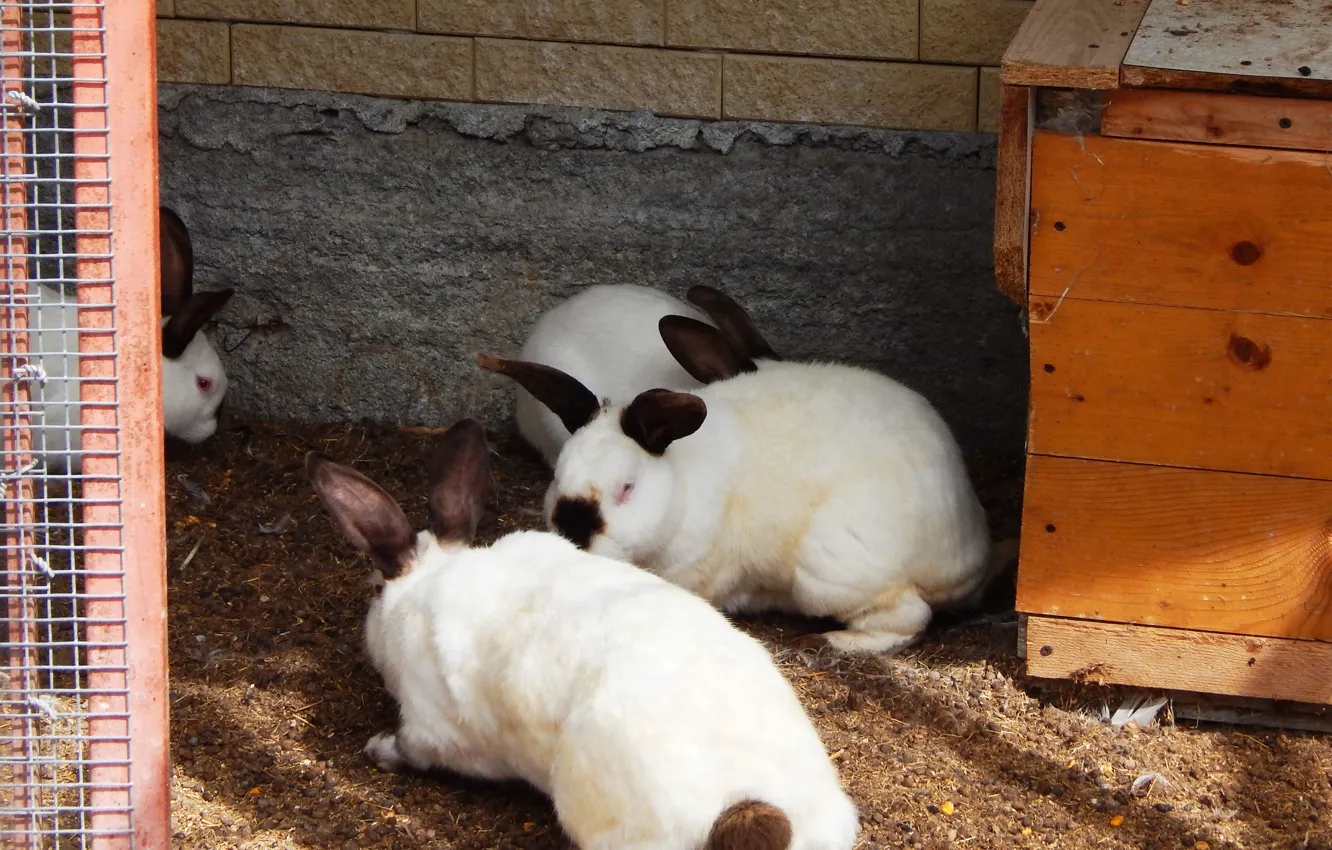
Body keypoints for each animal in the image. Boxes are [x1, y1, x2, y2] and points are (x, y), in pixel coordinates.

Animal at [306, 418, 860, 850]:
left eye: (375, 589)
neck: (427, 582)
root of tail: (751, 803)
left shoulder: (429, 728)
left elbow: (412, 750)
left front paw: (377, 748)